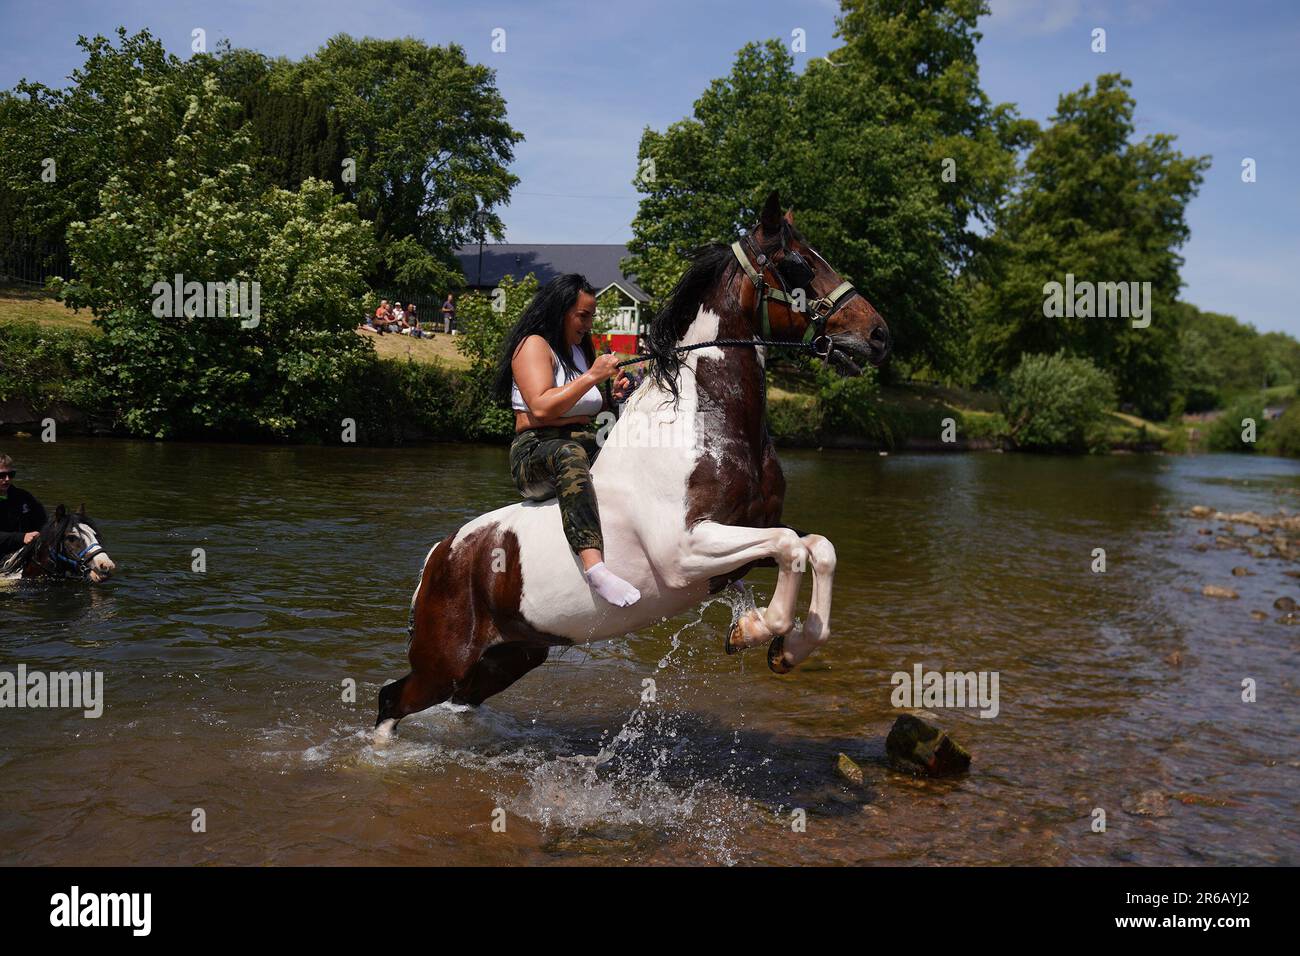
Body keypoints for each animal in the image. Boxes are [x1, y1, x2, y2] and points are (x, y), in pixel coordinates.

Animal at [376, 190, 890, 738]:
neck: (703, 425)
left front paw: (786, 649)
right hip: (445, 659)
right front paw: (751, 631)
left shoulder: (746, 540)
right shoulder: (685, 552)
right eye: (798, 264)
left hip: (511, 656)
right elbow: (792, 548)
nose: (879, 334)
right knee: (391, 700)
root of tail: (440, 555)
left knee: (456, 699)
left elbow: (818, 548)